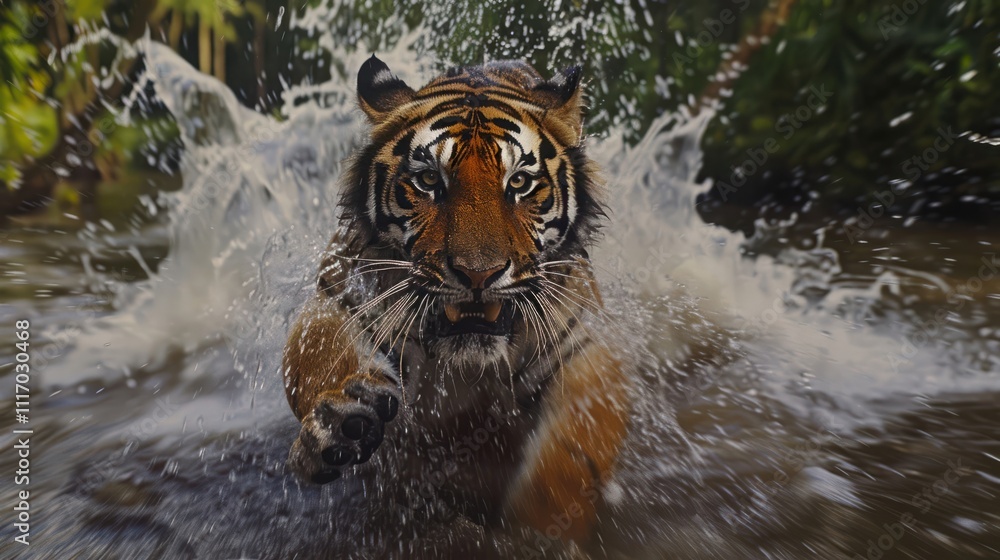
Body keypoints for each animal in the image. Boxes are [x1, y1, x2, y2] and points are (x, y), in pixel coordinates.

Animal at [282, 54, 633, 555]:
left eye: (519, 182)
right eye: (430, 180)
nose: (478, 274)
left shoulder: (578, 343)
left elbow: (569, 458)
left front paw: (534, 540)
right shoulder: (342, 293)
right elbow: (312, 359)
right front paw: (339, 422)